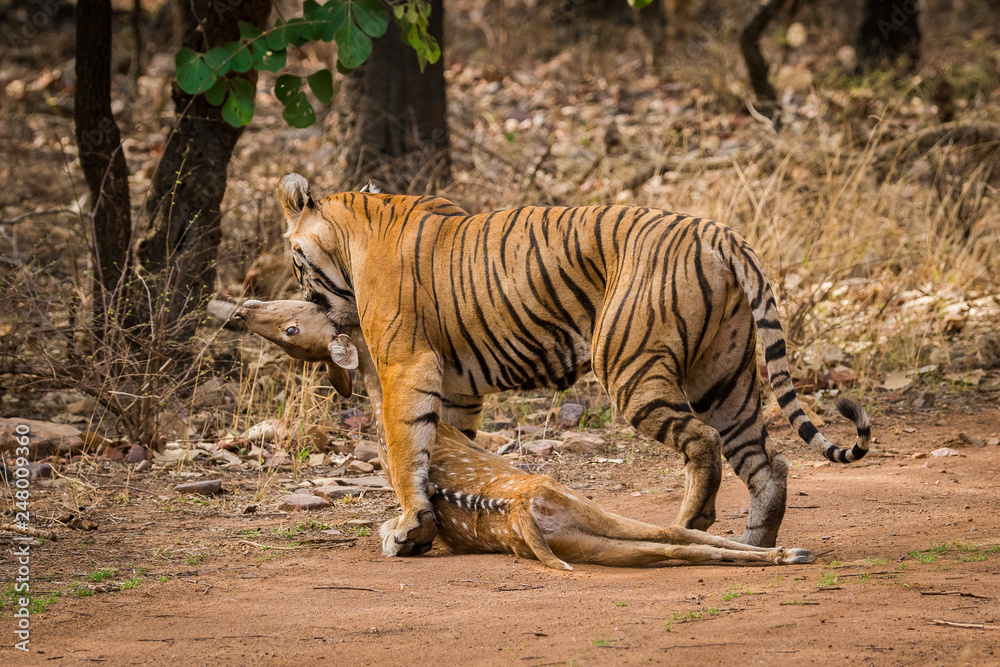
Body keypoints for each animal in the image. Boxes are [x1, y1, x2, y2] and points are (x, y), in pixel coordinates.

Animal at [277, 173, 872, 557]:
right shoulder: (457, 388)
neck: (356, 229)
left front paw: (408, 527)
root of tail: (717, 232)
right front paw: (434, 520)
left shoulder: (406, 364)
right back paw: (753, 542)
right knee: (768, 463)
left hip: (631, 367)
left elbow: (405, 451)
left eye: (296, 263)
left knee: (703, 443)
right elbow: (447, 448)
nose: (308, 302)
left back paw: (691, 525)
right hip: (724, 377)